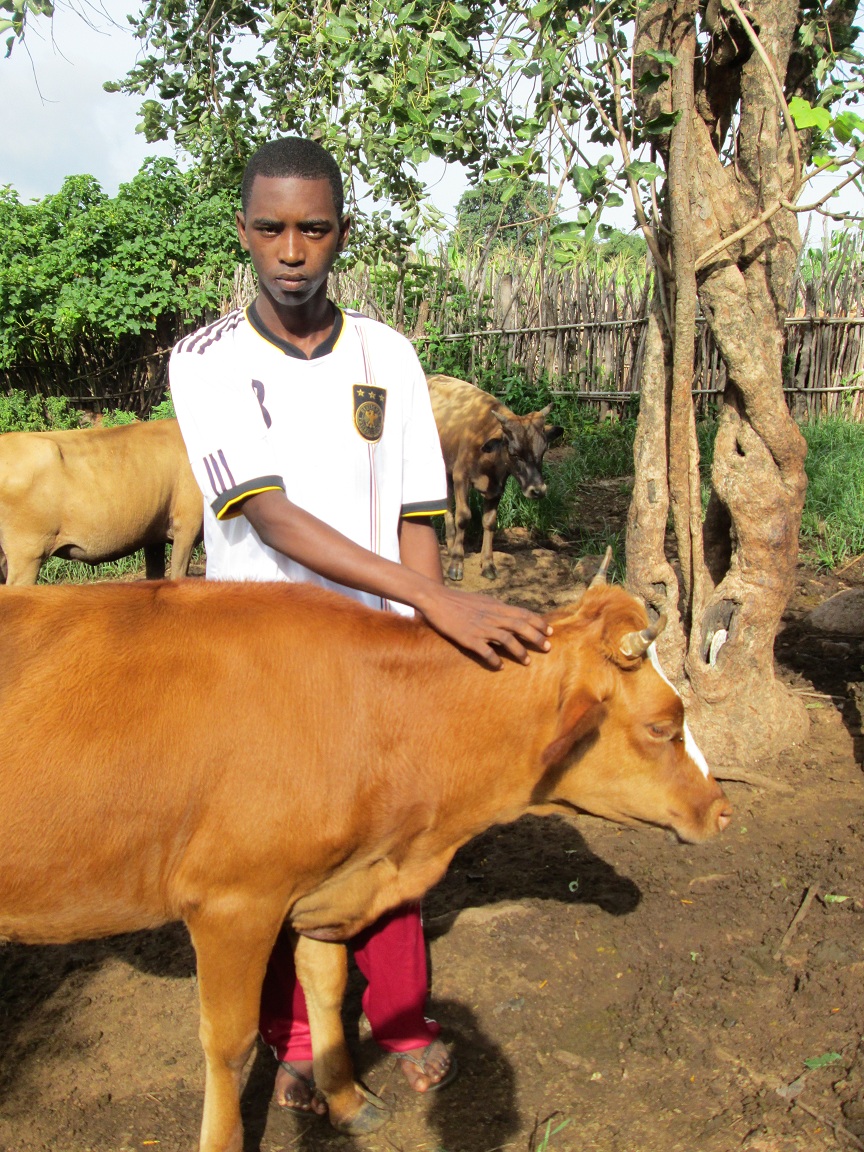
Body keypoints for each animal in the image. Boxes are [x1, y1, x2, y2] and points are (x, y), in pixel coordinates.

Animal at [0, 564, 730, 1151]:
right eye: (664, 724)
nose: (721, 809)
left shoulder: (322, 887)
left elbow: (326, 988)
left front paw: (346, 1100)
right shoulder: (231, 902)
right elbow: (229, 1044)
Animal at [427, 373, 564, 581]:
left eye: (543, 451)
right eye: (514, 453)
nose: (538, 490)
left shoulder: (497, 487)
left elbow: (489, 522)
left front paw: (488, 565)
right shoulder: (461, 477)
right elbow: (464, 516)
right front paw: (457, 564)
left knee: (447, 501)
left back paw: (450, 546)